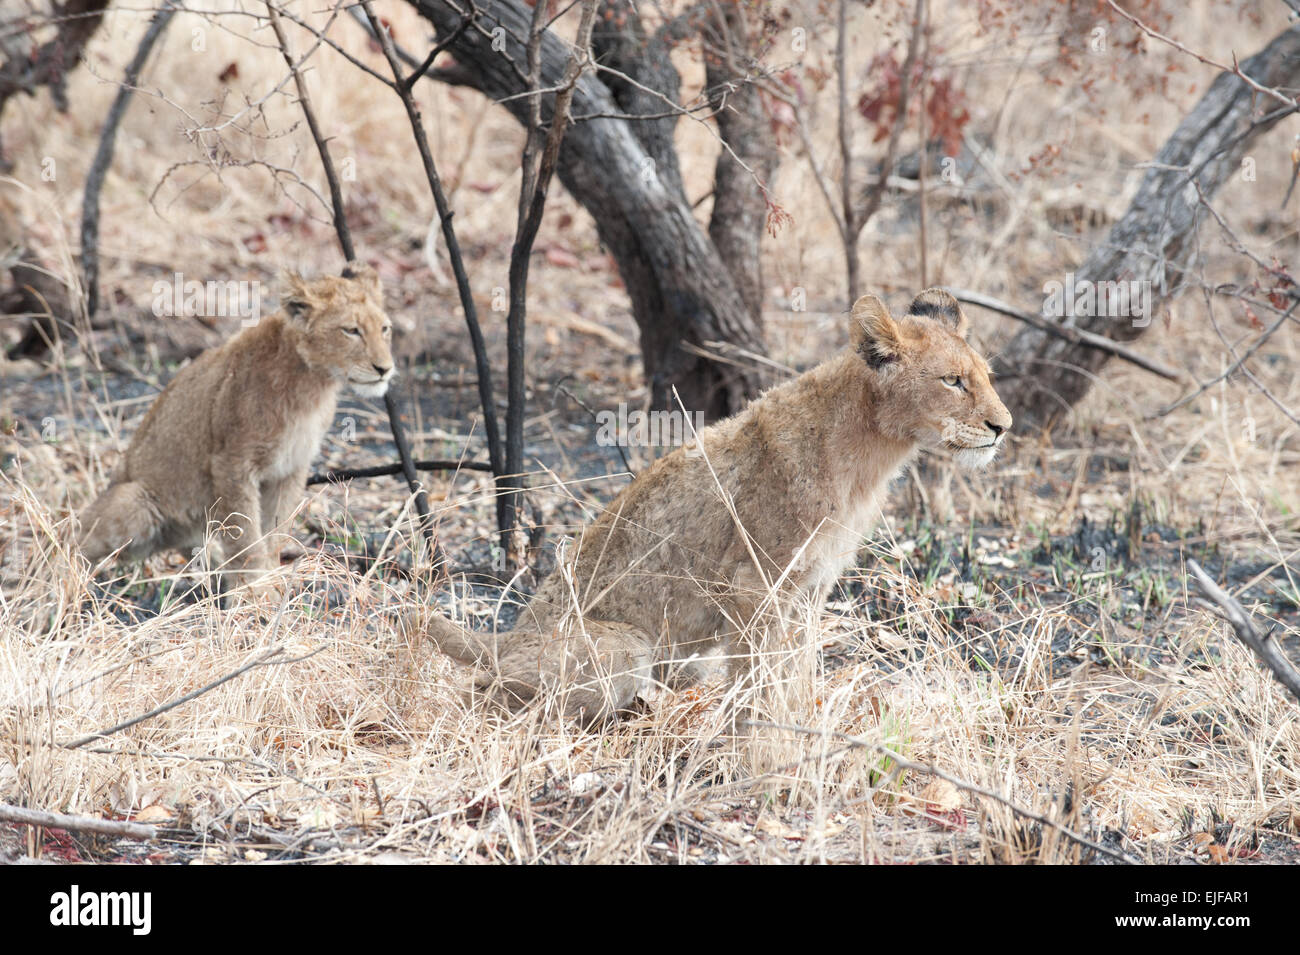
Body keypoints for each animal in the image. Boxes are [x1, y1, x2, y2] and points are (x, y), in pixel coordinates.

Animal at [78, 263, 394, 588]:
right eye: (351, 331)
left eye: (385, 329)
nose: (385, 369)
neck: (313, 387)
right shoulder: (232, 463)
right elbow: (246, 535)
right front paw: (253, 590)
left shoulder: (291, 469)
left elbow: (275, 530)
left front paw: (270, 580)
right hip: (135, 501)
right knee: (74, 536)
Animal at [404, 288, 1012, 722]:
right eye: (952, 381)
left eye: (985, 377)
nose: (1003, 427)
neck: (871, 456)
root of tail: (505, 640)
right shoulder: (752, 584)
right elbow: (758, 676)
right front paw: (760, 739)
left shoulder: (811, 587)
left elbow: (799, 667)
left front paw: (801, 722)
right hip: (628, 648)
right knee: (487, 699)